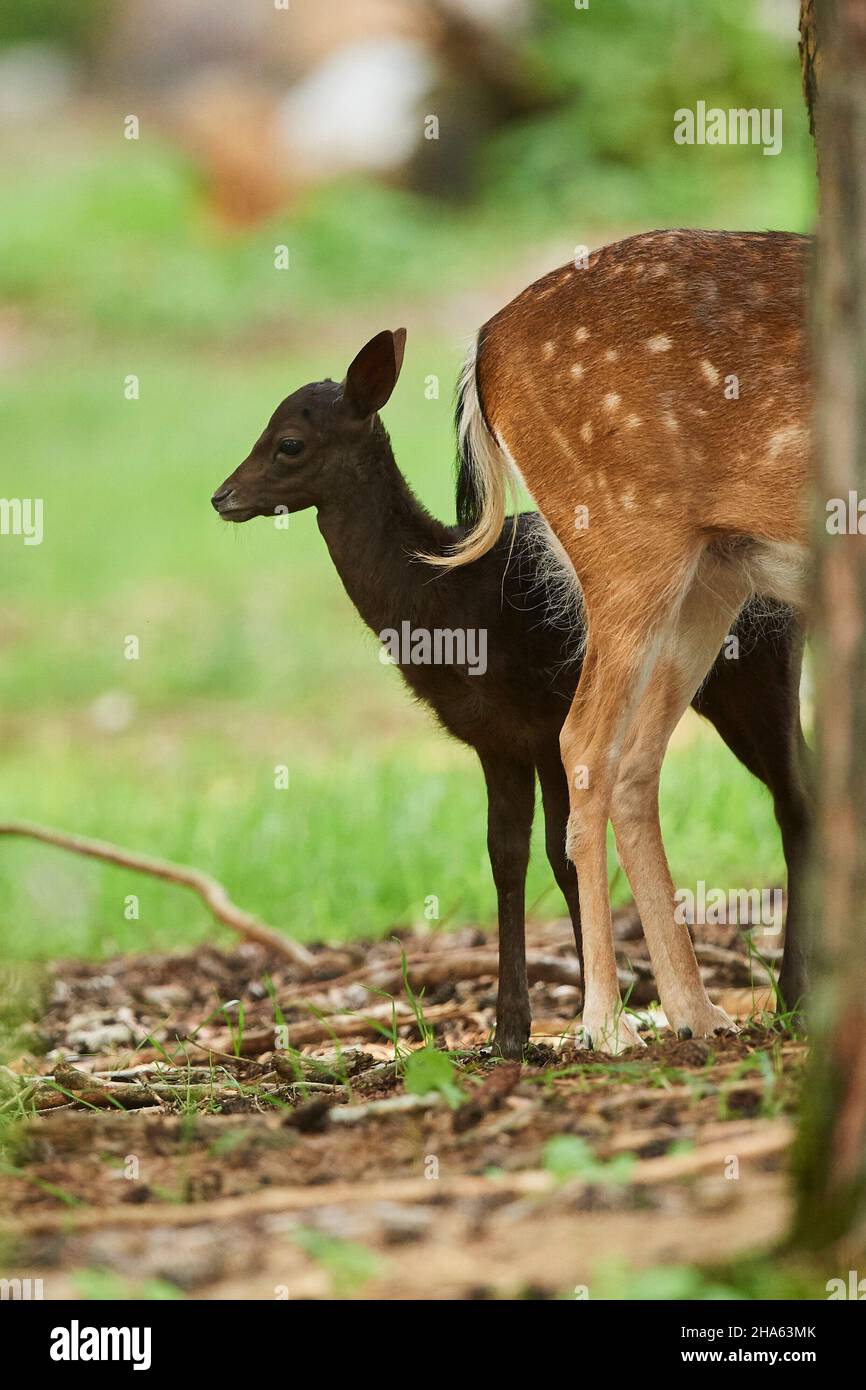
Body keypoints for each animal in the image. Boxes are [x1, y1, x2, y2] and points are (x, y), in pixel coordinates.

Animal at [211, 327, 811, 1058]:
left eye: (289, 442)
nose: (222, 497)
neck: (448, 605)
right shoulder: (494, 739)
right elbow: (508, 855)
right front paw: (511, 1032)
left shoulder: (544, 722)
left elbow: (560, 851)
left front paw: (599, 1016)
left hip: (757, 680)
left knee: (797, 799)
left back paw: (792, 997)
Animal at [425, 229, 812, 1053]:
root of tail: (484, 342)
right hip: (625, 540)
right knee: (585, 745)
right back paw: (606, 1024)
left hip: (711, 573)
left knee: (637, 763)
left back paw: (697, 1013)